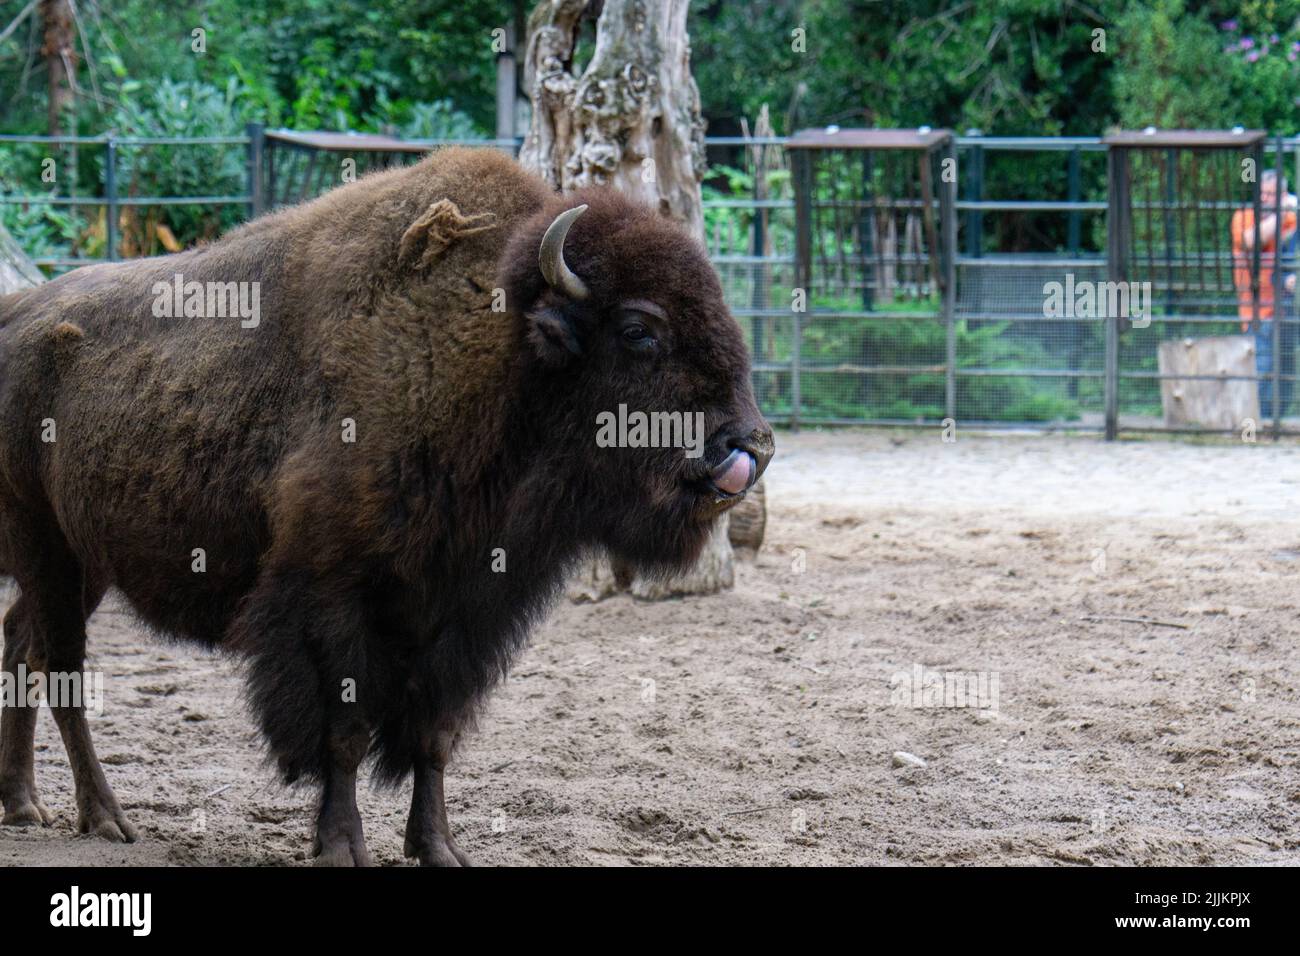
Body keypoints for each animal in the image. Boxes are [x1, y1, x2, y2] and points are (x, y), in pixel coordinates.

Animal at [0, 147, 773, 865]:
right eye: (640, 330)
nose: (752, 448)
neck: (498, 360)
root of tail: (16, 318)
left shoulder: (463, 614)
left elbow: (434, 736)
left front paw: (439, 847)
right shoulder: (333, 597)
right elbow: (343, 733)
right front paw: (342, 845)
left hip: (85, 562)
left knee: (20, 644)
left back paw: (25, 804)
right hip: (46, 547)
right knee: (60, 666)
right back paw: (104, 817)